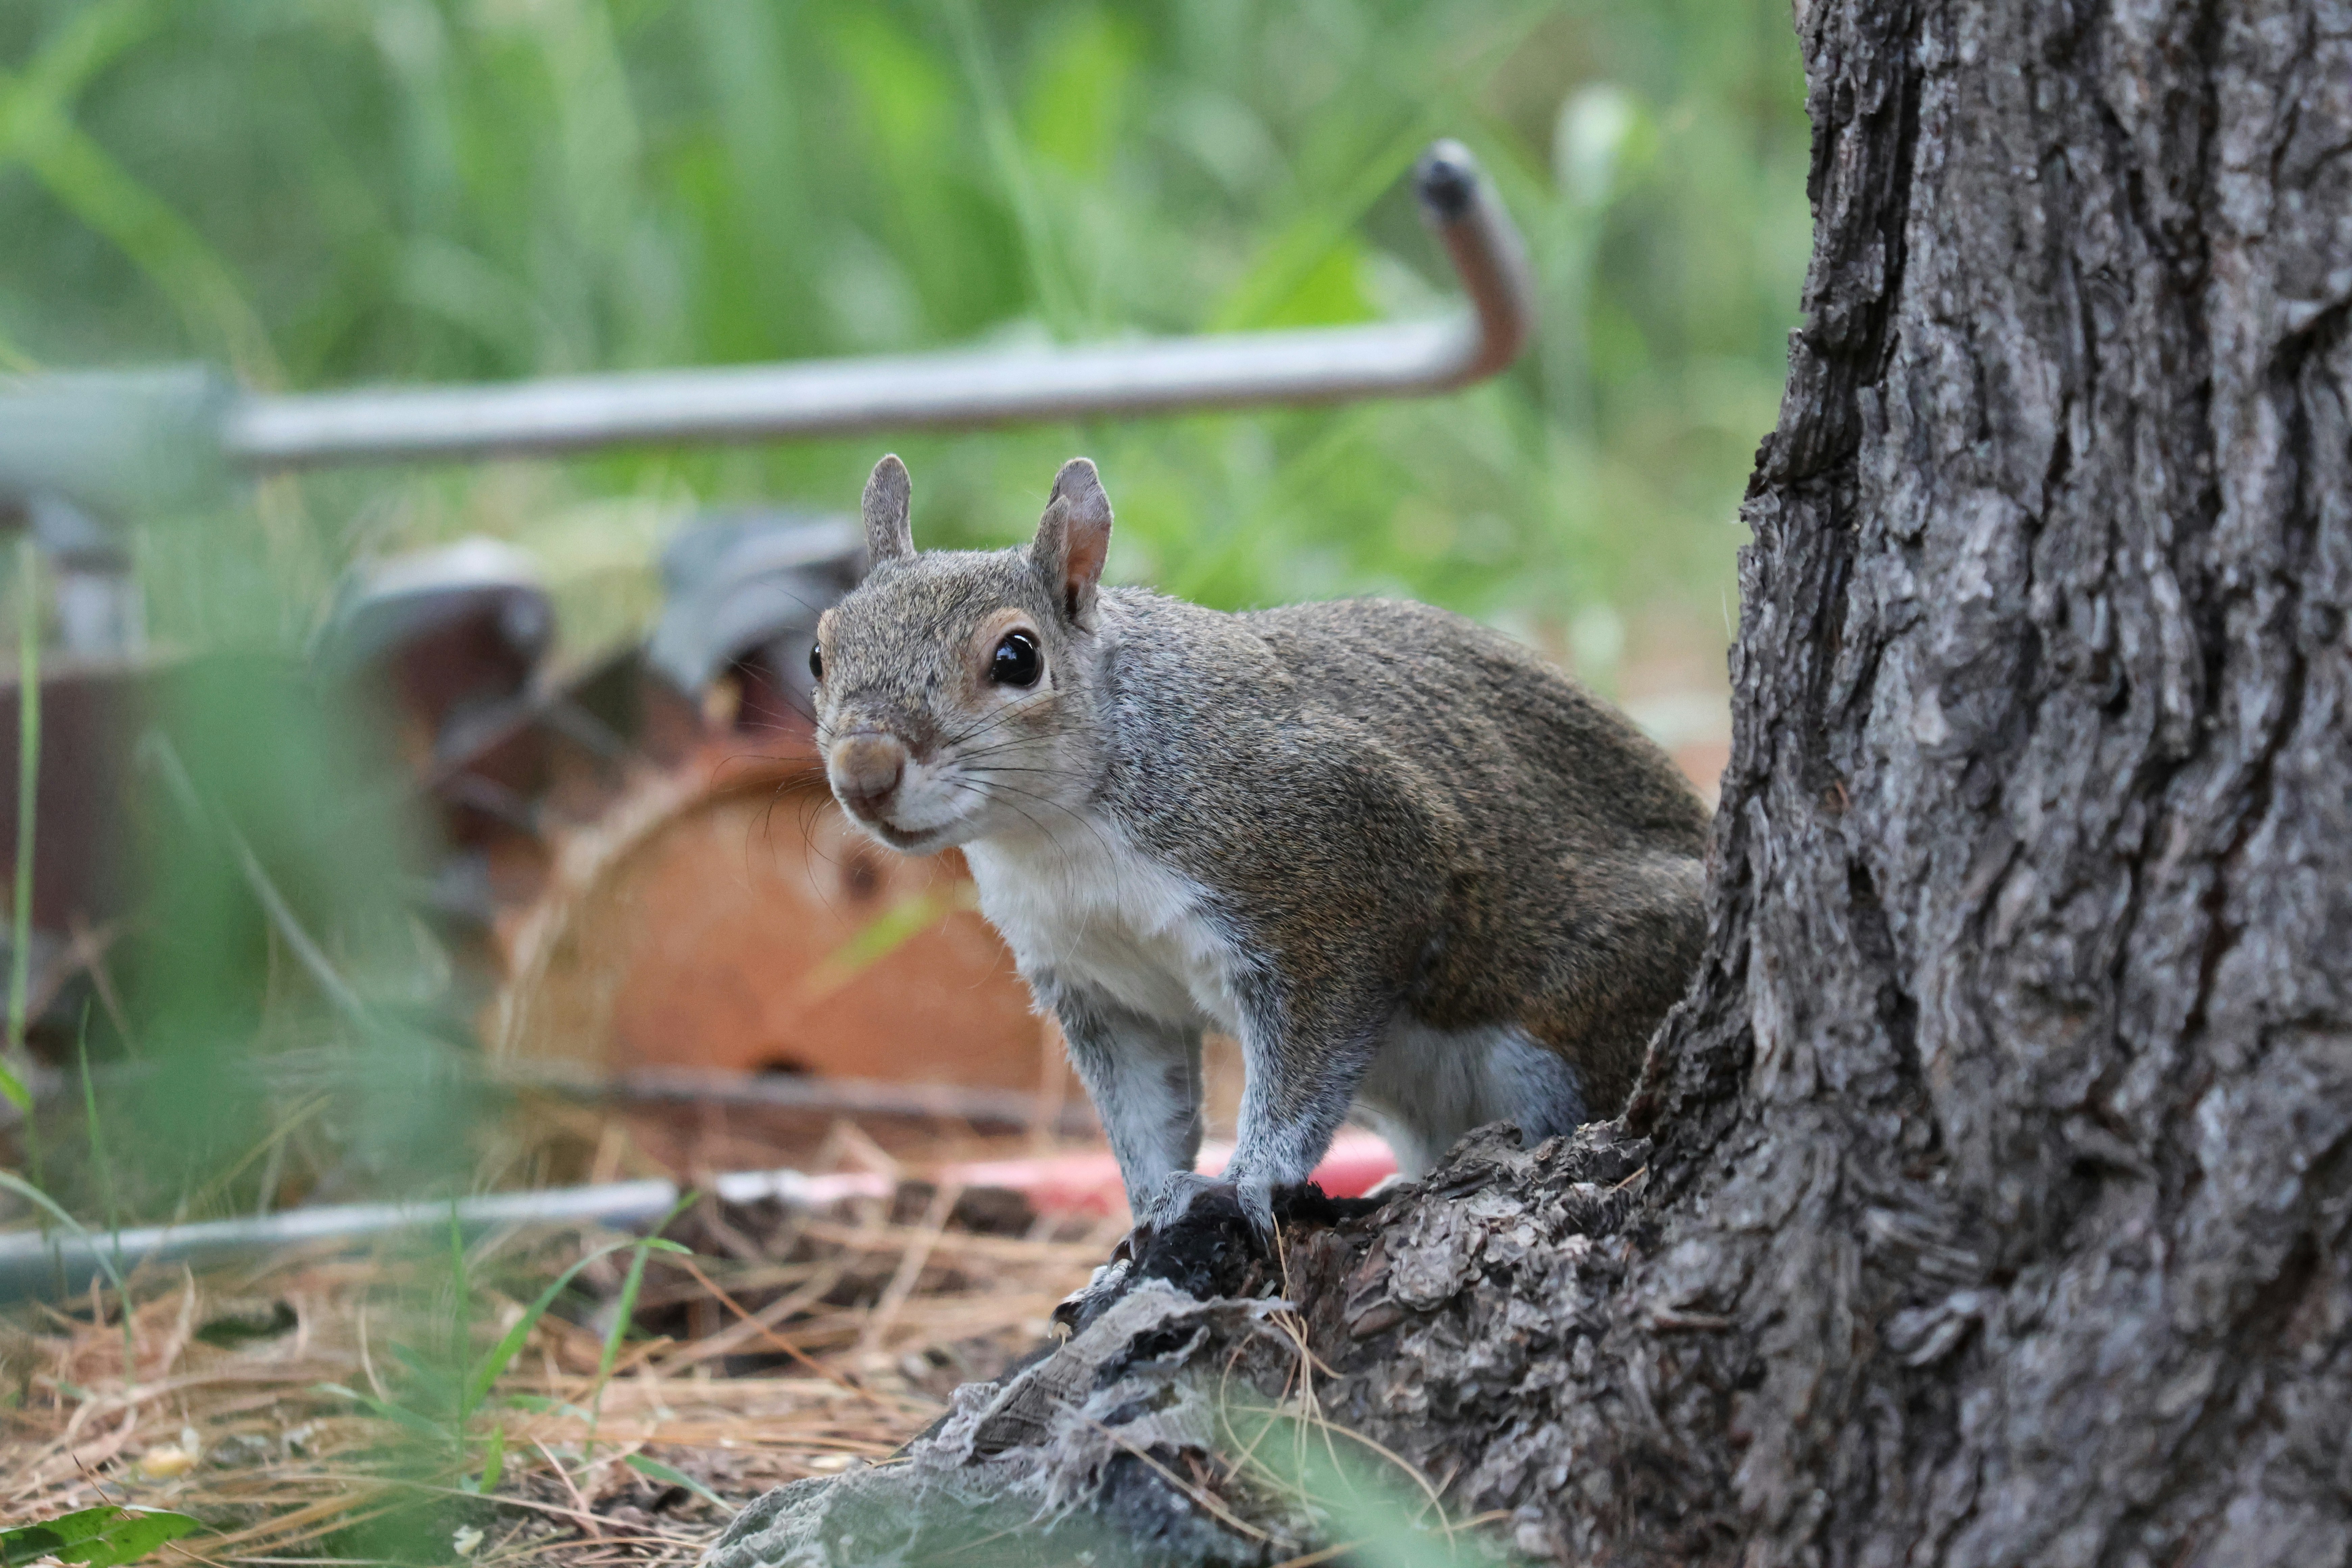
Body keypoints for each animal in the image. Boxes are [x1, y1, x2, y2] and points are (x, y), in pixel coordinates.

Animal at [811, 453, 1711, 1239]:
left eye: (1017, 656)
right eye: (820, 651)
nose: (864, 770)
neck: (1060, 838)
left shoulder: (1340, 875)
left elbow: (1303, 1070)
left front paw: (1247, 1181)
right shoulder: (1101, 982)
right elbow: (1144, 1114)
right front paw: (1152, 1208)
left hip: (1577, 1023)